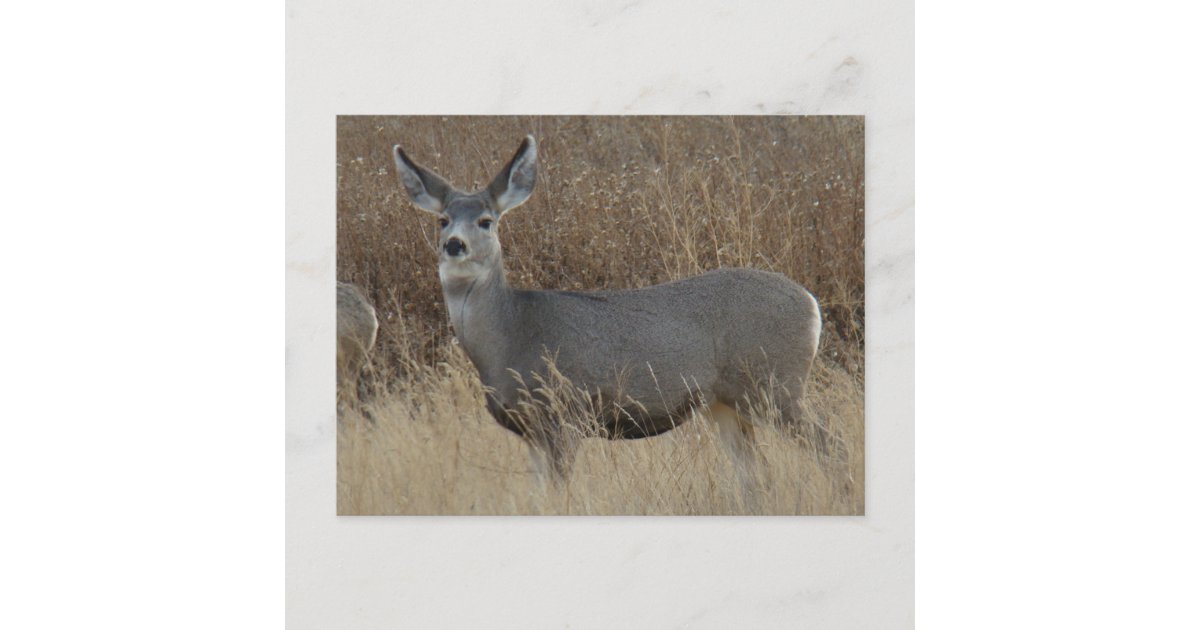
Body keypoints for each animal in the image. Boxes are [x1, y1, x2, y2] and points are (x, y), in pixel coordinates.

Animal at [392, 136, 821, 496]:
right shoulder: (530, 430)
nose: (454, 245)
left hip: (776, 384)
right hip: (726, 404)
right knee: (756, 475)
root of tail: (811, 302)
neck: (510, 337)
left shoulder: (564, 413)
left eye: (486, 220)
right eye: (442, 220)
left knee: (826, 446)